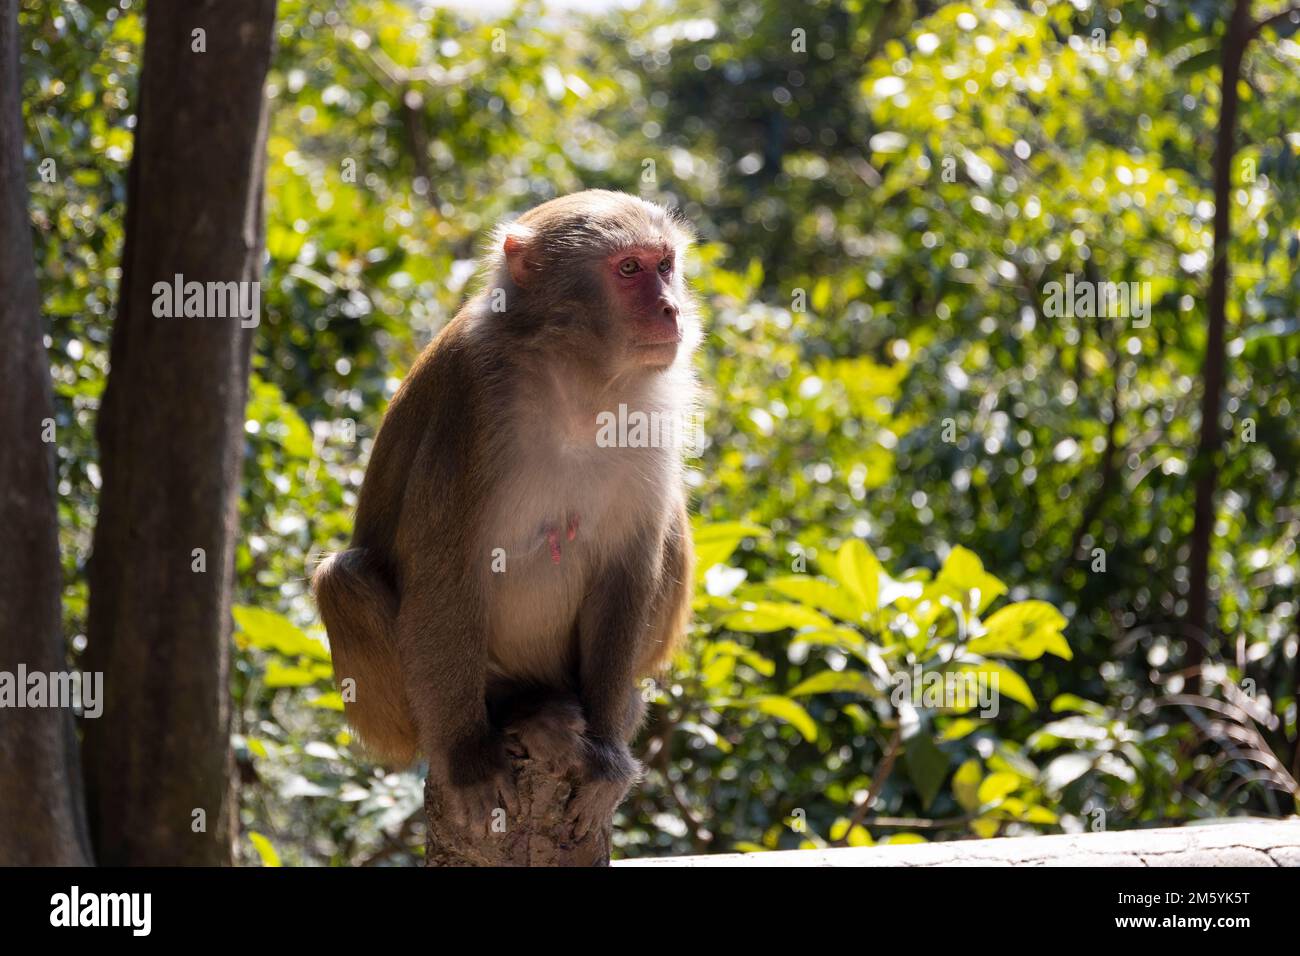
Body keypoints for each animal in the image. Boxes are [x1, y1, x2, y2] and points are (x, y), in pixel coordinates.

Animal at [312, 190, 698, 838]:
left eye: (665, 265)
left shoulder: (649, 414)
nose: (671, 309)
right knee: (342, 580)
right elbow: (446, 572)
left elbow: (628, 565)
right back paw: (516, 710)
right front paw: (470, 759)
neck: (576, 379)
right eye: (628, 269)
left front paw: (606, 757)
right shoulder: (471, 405)